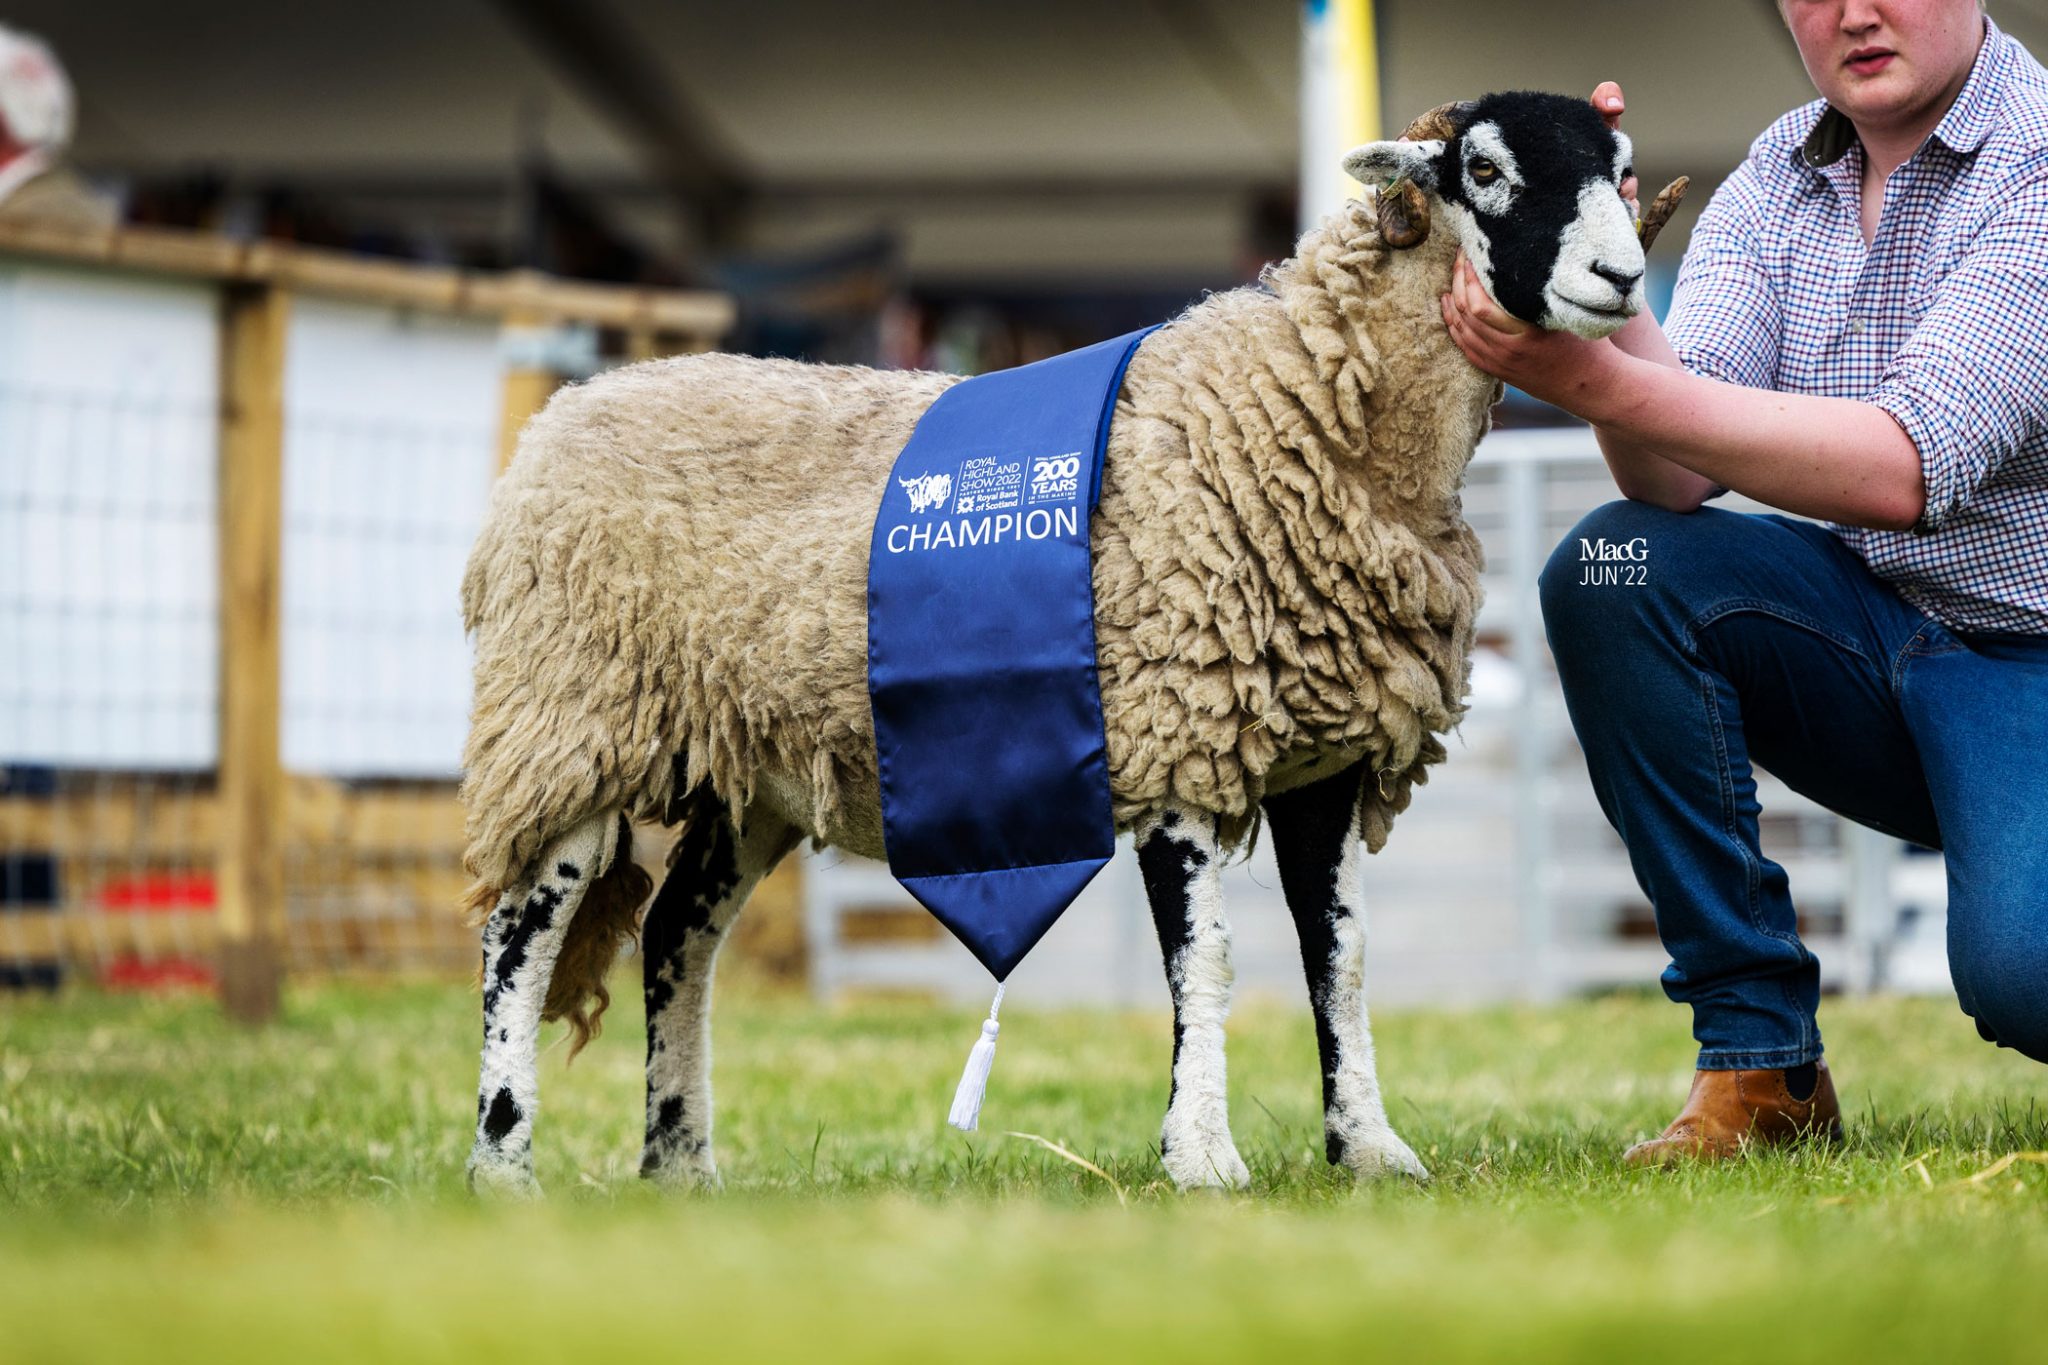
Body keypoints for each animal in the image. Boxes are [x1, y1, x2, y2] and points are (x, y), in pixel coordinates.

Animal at [458, 89, 1676, 1197]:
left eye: (1619, 171)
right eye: (1483, 169)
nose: (1619, 282)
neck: (1313, 415)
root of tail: (573, 402)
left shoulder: (1325, 757)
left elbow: (1342, 961)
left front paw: (1369, 1151)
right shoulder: (1179, 723)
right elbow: (1208, 961)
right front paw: (1201, 1158)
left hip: (746, 764)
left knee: (677, 934)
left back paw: (680, 1167)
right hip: (567, 717)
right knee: (518, 936)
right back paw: (503, 1165)